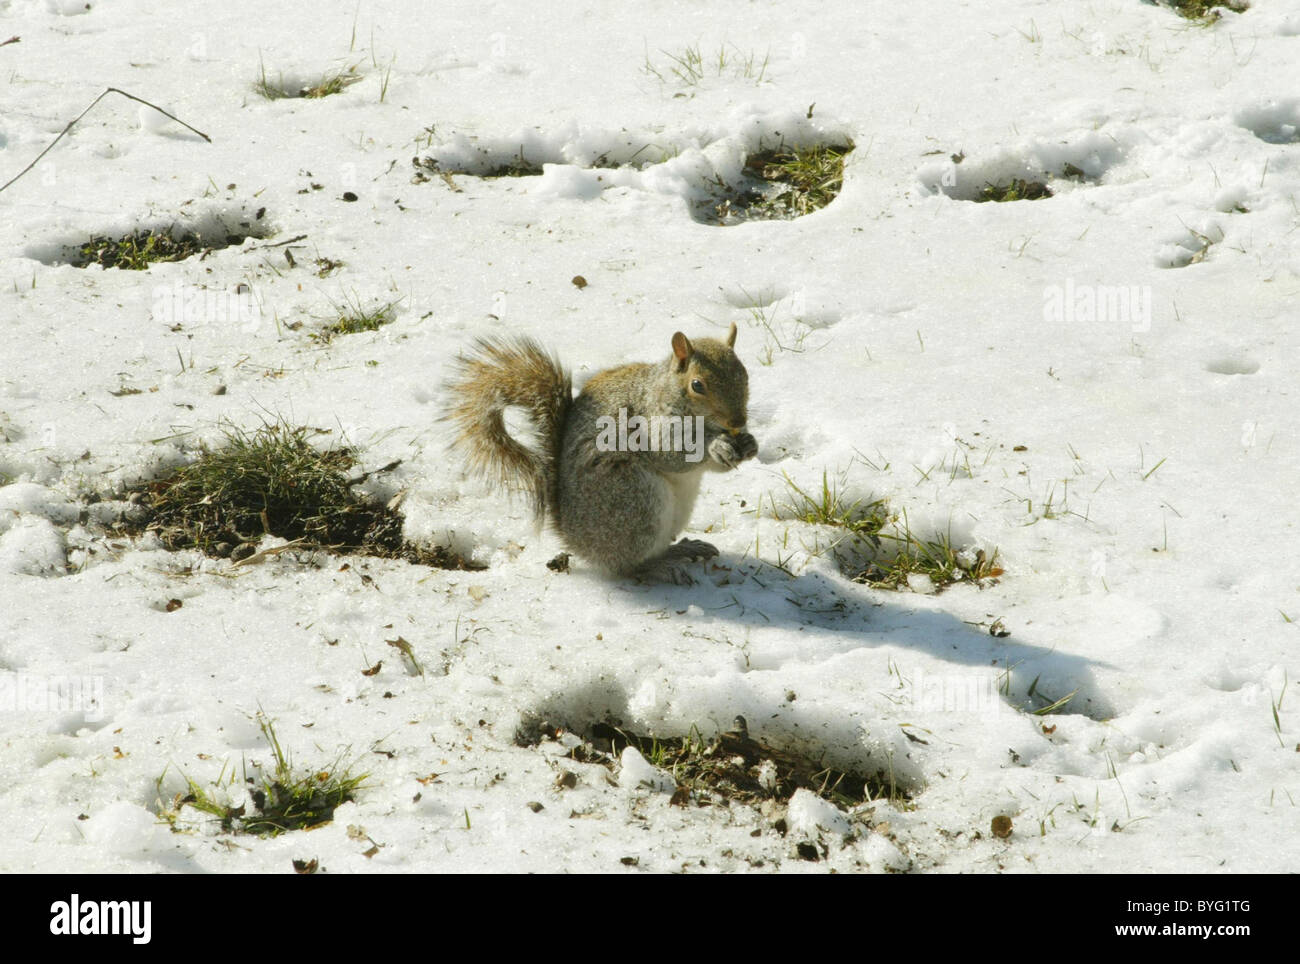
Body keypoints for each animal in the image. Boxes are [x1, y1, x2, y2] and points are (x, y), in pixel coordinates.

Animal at [444, 322, 757, 582]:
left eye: (745, 375)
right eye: (697, 385)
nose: (738, 421)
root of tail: (577, 540)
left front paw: (749, 444)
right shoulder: (650, 423)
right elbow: (672, 454)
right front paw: (714, 446)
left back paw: (683, 548)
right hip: (635, 501)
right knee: (628, 564)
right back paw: (661, 566)